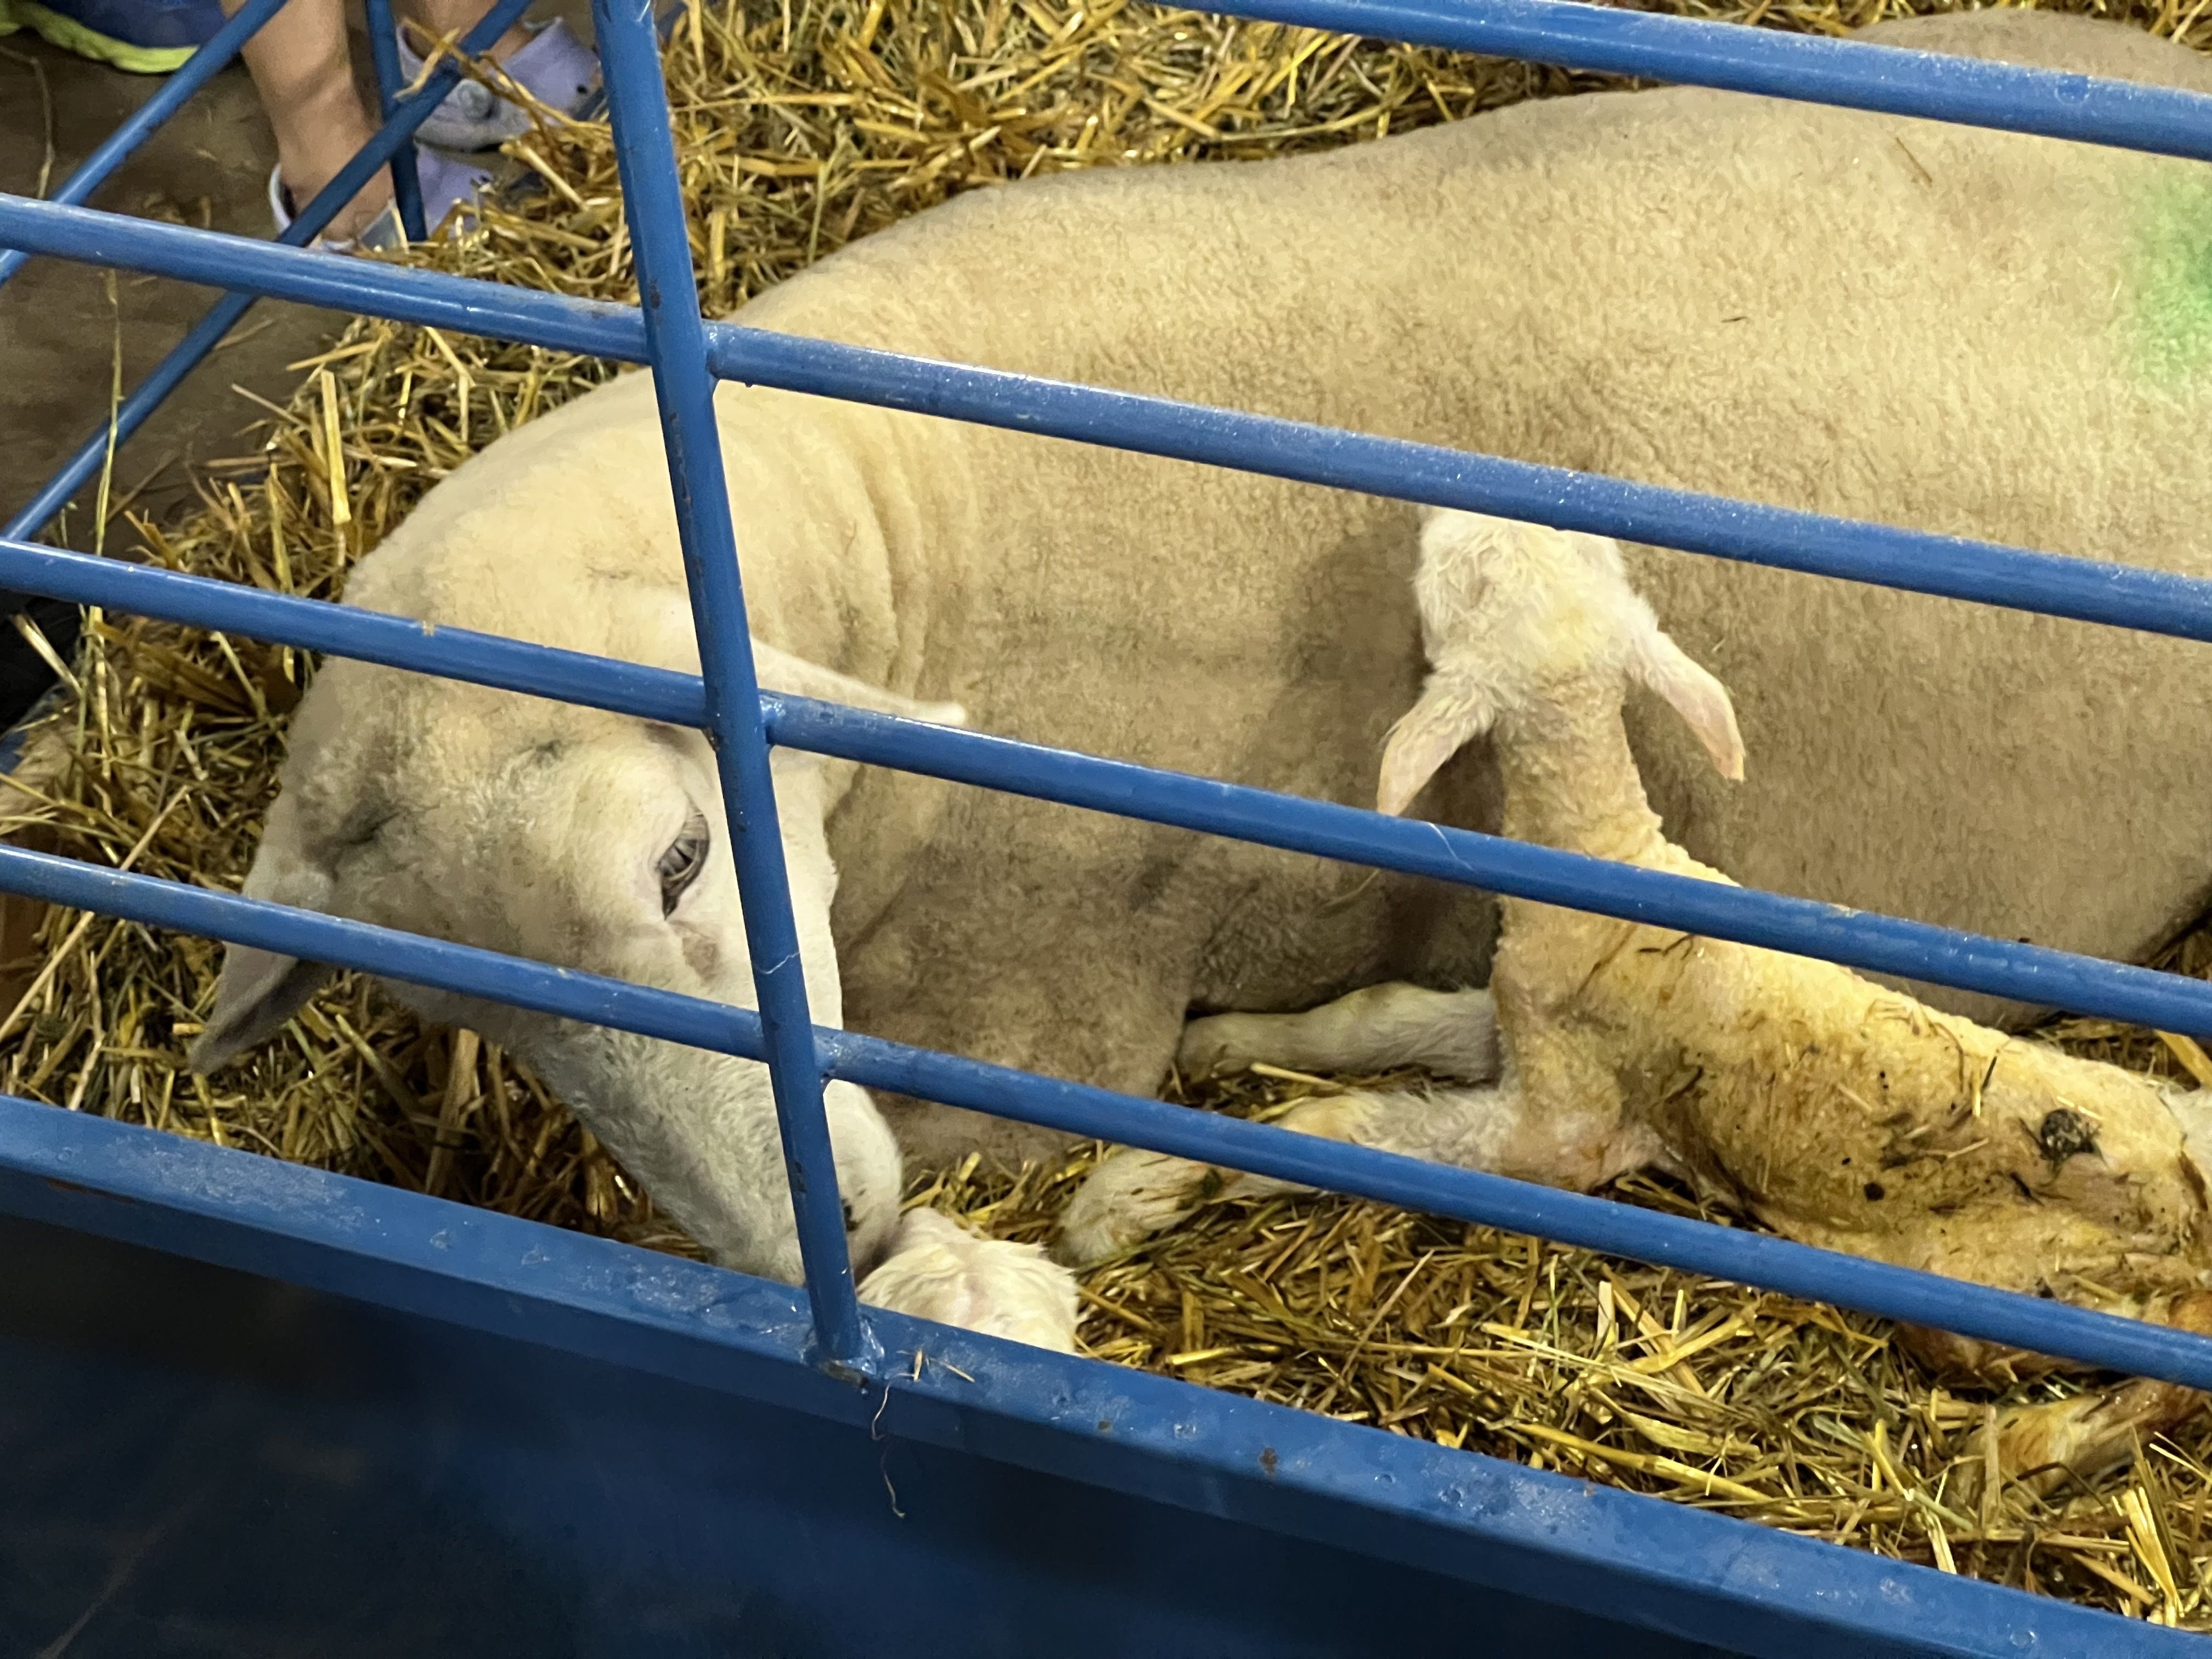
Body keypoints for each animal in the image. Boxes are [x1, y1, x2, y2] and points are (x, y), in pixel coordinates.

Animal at [1065, 507, 2212, 1490]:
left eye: (1465, 579)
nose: (1453, 509)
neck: (1607, 865)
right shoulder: (1520, 1026)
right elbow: (1372, 1014)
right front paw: (1223, 1042)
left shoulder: (1562, 1132)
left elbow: (1338, 1125)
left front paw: (1124, 1192)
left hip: (2048, 1276)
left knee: (2154, 1350)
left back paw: (2039, 1442)